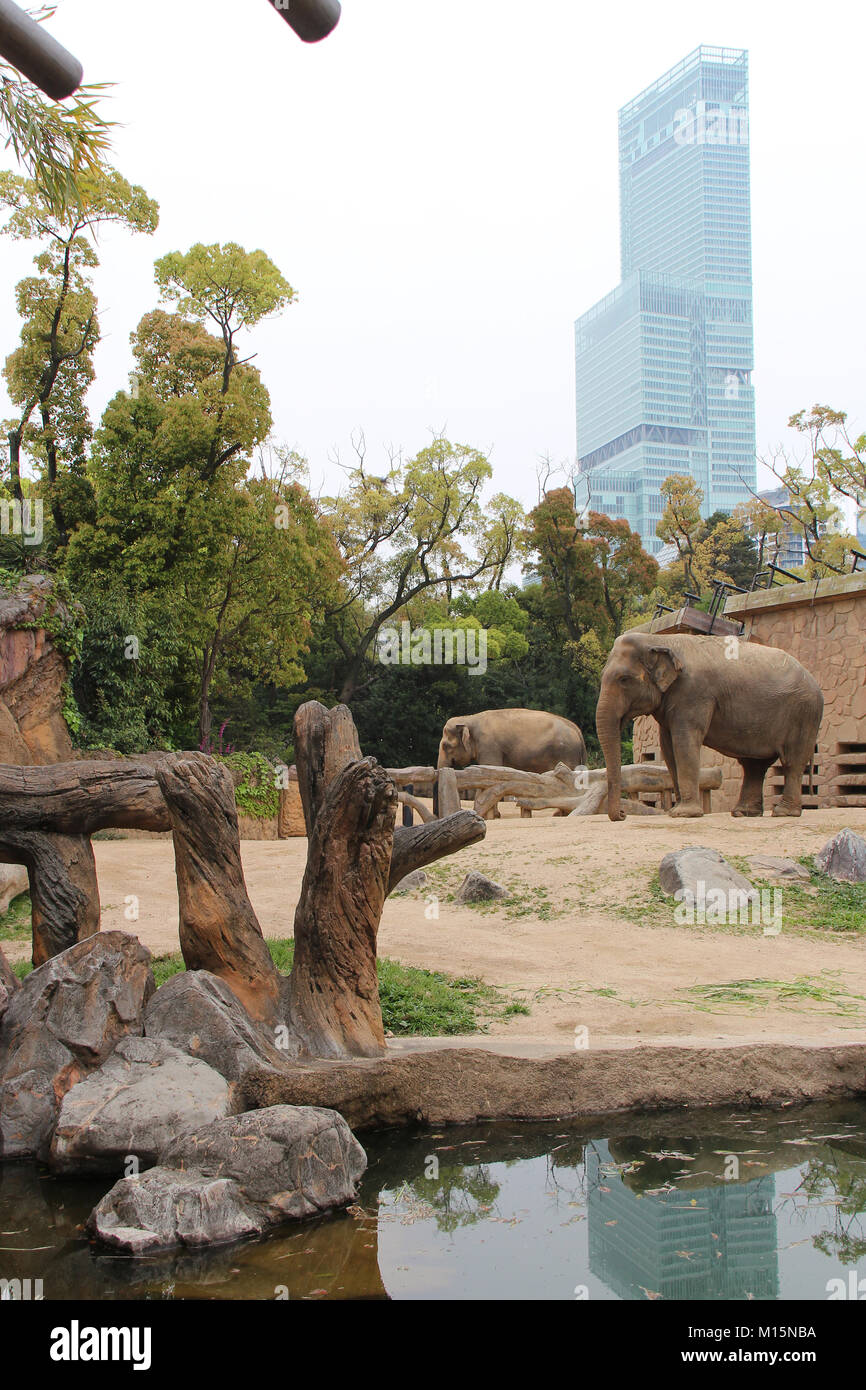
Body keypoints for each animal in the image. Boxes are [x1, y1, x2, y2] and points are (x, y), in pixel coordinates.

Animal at [437, 708, 587, 773]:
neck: (469, 718)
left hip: (566, 753)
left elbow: (491, 767)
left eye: (445, 745)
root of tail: (576, 729)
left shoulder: (489, 745)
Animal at [596, 631, 823, 821]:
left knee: (792, 762)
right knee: (754, 765)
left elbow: (684, 742)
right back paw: (743, 813)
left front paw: (683, 814)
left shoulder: (694, 693)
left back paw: (784, 813)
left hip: (804, 714)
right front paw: (675, 811)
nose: (623, 814)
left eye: (624, 679)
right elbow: (668, 748)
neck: (658, 639)